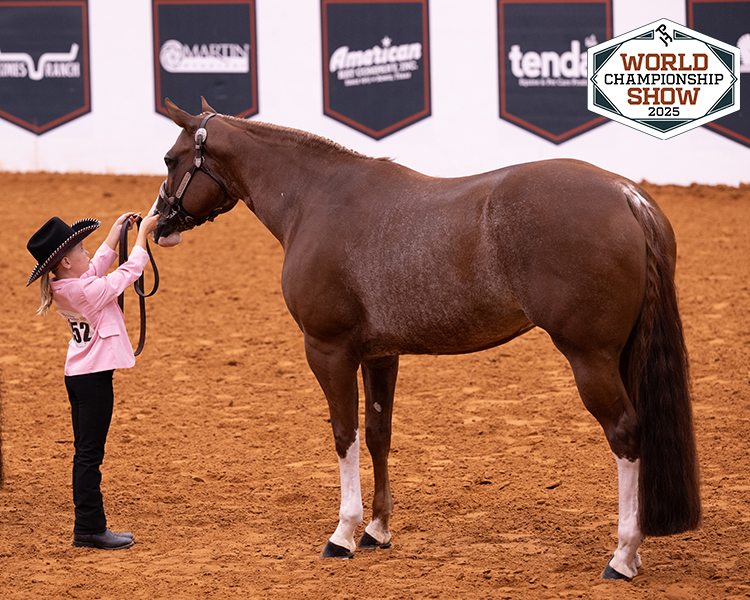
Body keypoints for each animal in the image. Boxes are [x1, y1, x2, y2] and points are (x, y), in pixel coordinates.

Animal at [152, 98, 700, 580]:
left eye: (170, 159)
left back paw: (623, 555)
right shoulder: (379, 354)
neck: (315, 200)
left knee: (626, 433)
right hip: (622, 354)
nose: (159, 222)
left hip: (591, 358)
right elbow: (378, 433)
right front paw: (376, 530)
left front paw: (343, 534)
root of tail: (625, 194)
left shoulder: (328, 351)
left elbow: (344, 434)